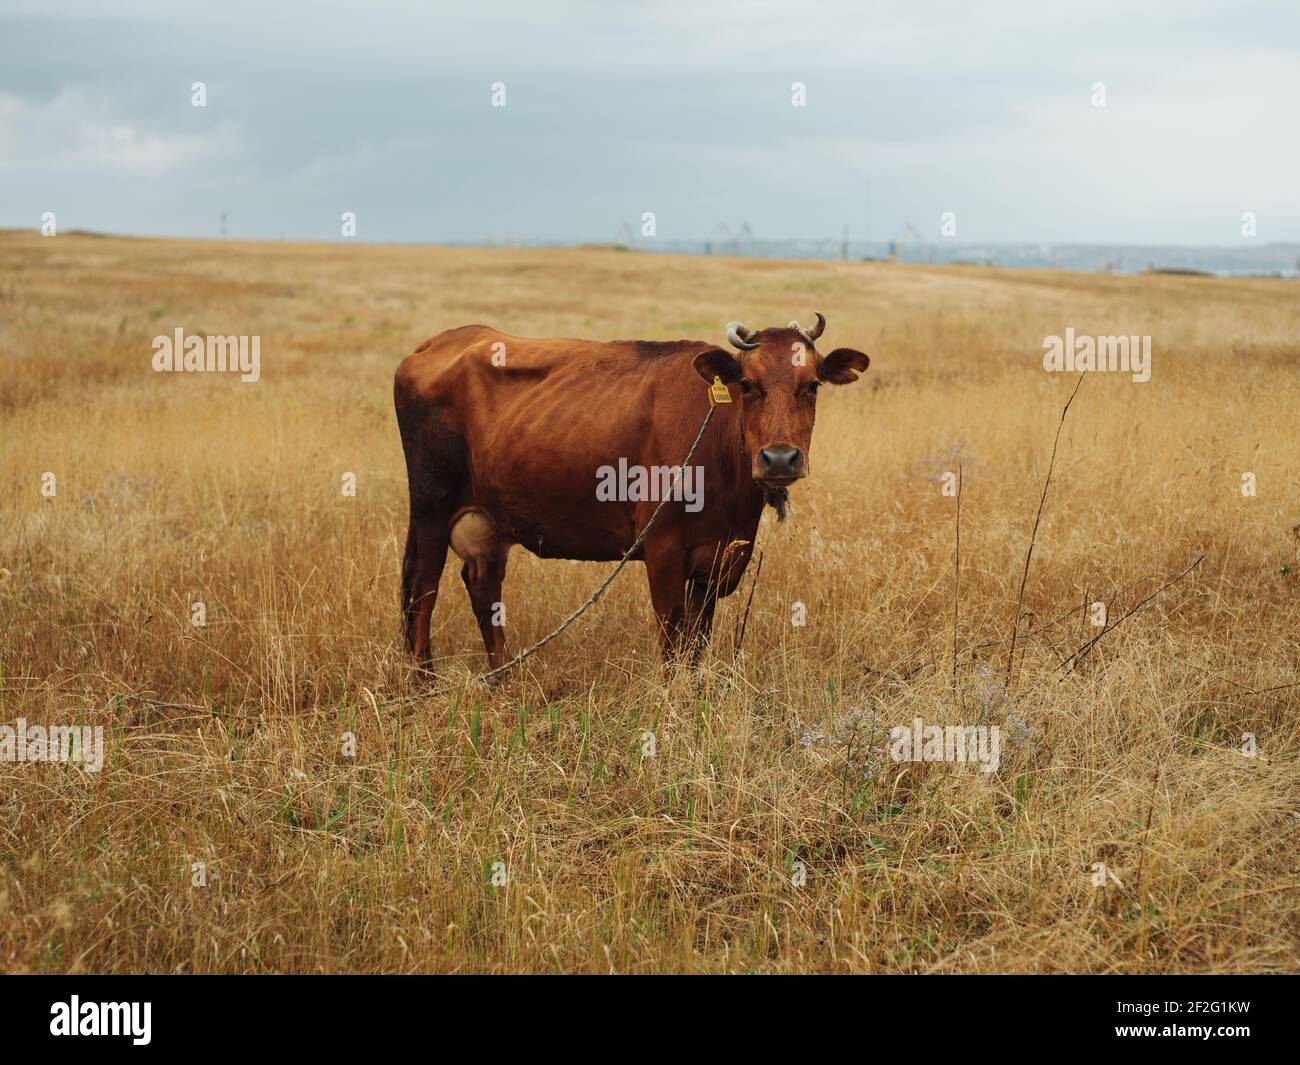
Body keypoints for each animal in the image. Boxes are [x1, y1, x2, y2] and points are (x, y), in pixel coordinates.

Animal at [394, 313, 869, 672]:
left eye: (812, 385)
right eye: (748, 385)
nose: (779, 458)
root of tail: (440, 342)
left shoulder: (716, 562)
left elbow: (697, 644)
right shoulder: (663, 551)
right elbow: (673, 644)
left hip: (488, 522)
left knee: (482, 585)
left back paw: (503, 677)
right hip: (431, 507)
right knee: (423, 588)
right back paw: (424, 681)